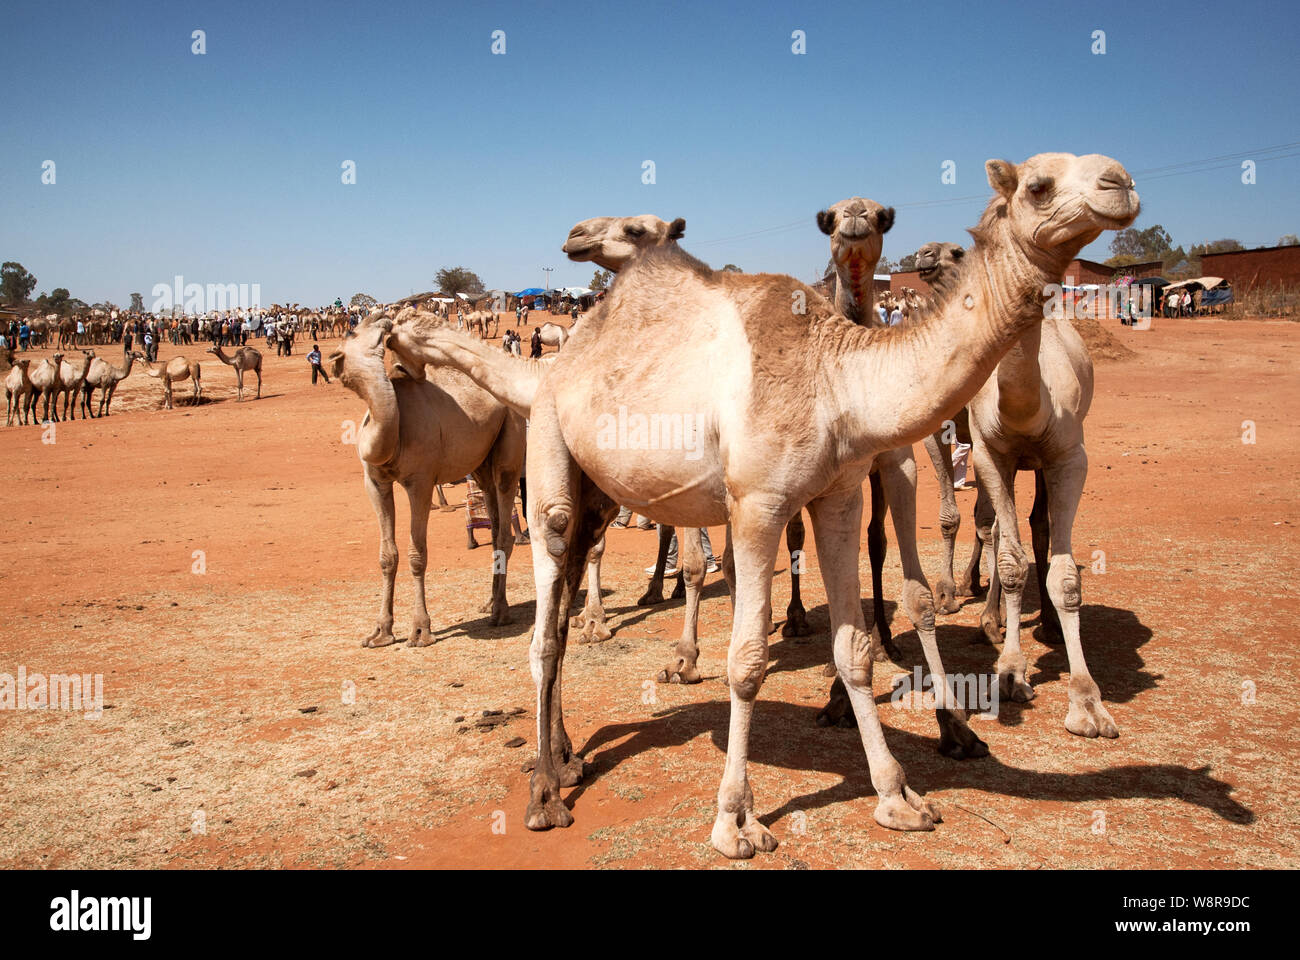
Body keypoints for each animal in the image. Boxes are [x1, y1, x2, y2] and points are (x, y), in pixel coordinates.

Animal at [327, 313, 525, 646]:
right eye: (353, 331)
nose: (382, 316)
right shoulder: (374, 482)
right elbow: (387, 555)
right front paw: (380, 632)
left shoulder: (419, 481)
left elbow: (416, 554)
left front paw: (420, 631)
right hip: (481, 464)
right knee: (494, 515)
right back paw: (489, 603)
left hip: (510, 442)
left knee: (504, 525)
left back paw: (499, 612)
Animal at [517, 153, 1138, 858]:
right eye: (1039, 185)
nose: (1120, 182)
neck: (837, 378)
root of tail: (563, 355)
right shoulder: (757, 504)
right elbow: (747, 662)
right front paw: (735, 821)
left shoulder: (838, 497)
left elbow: (854, 649)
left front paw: (898, 796)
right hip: (548, 441)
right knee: (545, 613)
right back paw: (544, 794)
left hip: (598, 488)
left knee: (561, 617)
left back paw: (566, 758)